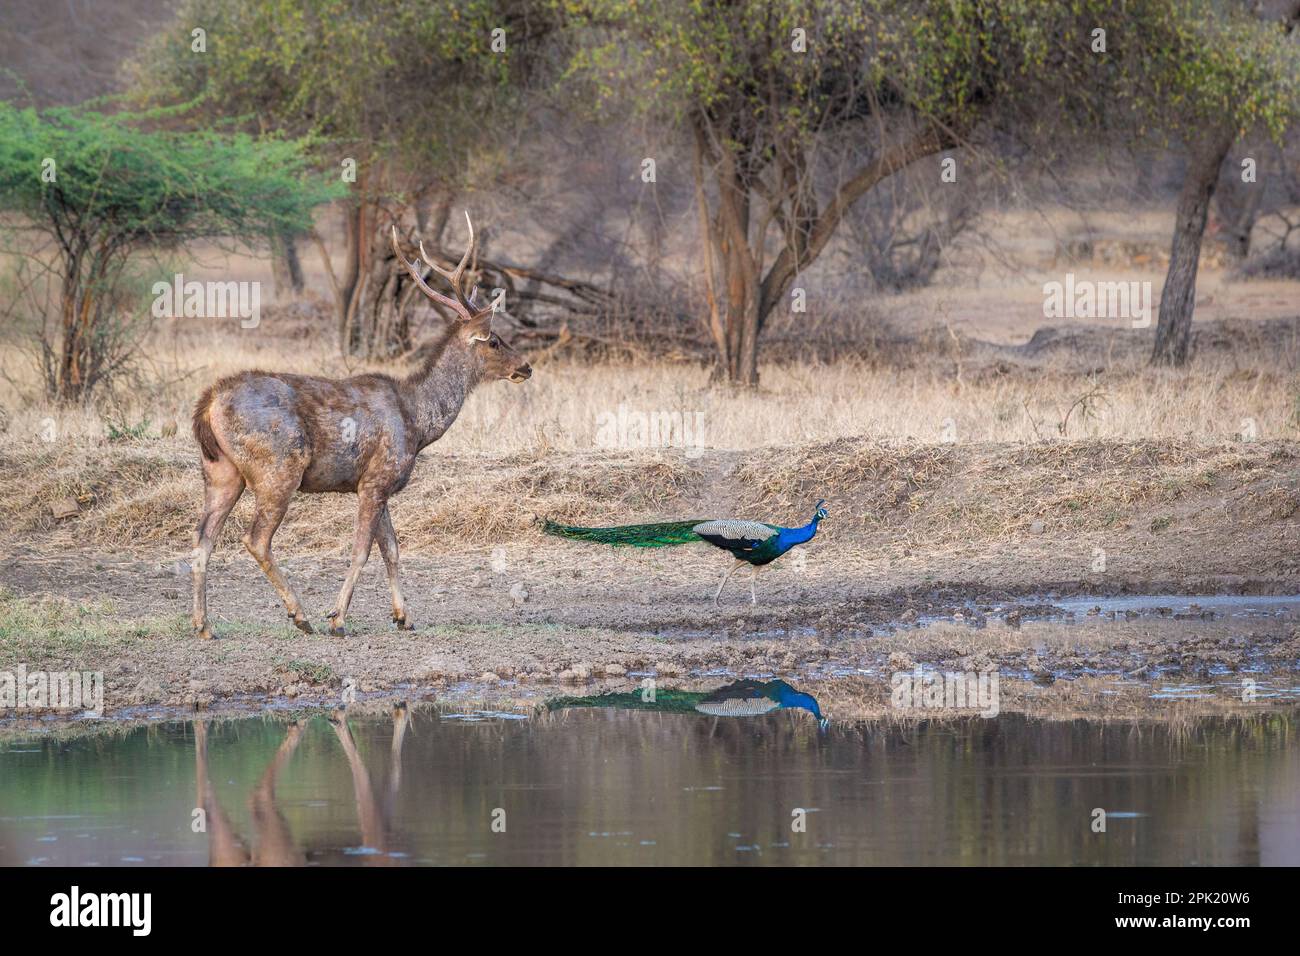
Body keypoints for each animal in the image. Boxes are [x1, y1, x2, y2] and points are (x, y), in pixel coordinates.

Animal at [190, 214, 531, 639]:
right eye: (495, 341)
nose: (526, 366)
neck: (418, 422)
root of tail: (208, 404)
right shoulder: (377, 478)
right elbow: (362, 550)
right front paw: (338, 618)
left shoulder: (377, 484)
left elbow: (393, 550)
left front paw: (404, 617)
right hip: (278, 468)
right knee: (255, 539)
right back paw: (300, 615)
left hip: (221, 471)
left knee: (202, 539)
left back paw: (204, 625)